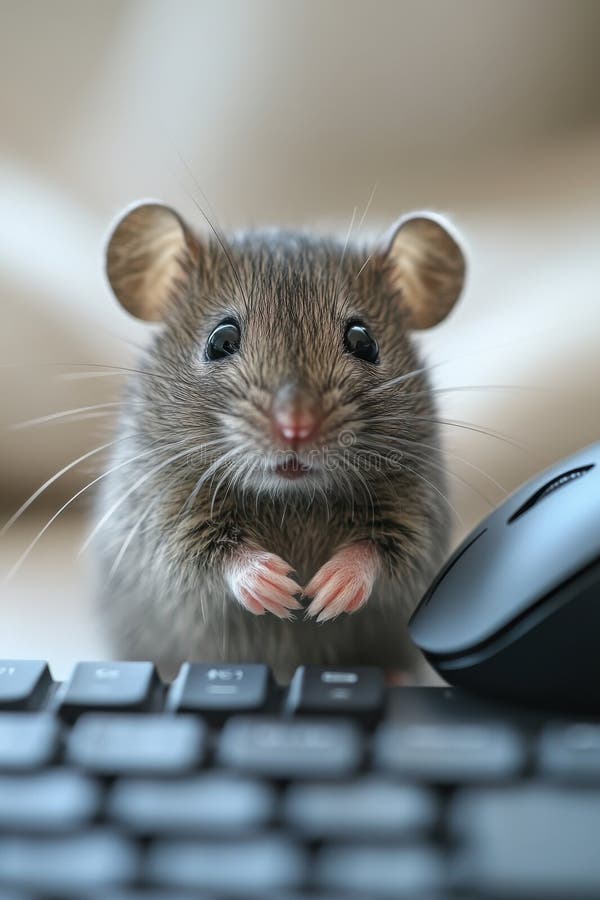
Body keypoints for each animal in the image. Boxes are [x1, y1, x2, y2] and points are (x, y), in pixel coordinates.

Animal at [94, 202, 466, 682]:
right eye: (221, 340)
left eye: (363, 341)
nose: (296, 430)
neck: (293, 498)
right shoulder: (160, 509)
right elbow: (203, 553)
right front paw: (273, 584)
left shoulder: (418, 509)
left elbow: (384, 548)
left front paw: (329, 589)